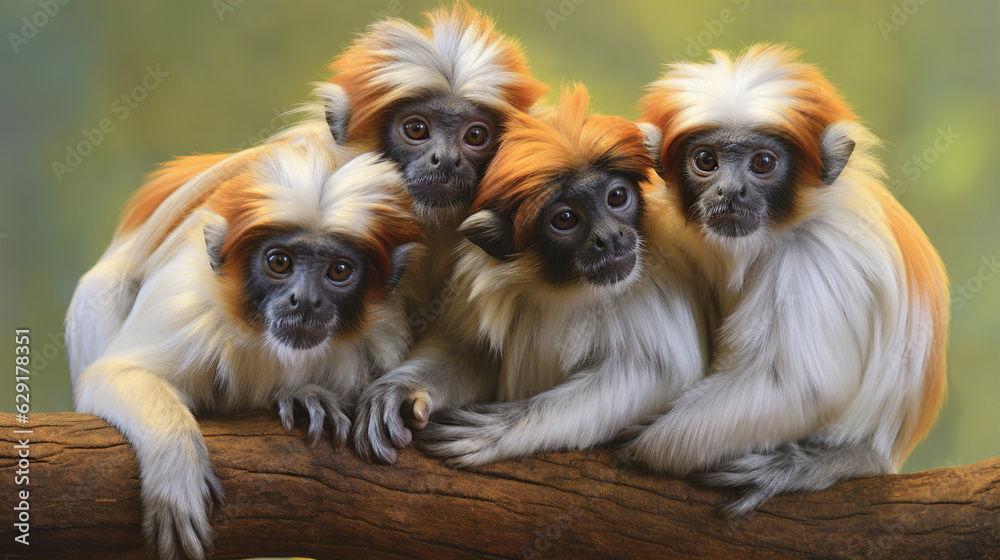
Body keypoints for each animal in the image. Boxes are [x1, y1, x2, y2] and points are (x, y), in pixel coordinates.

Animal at [65, 127, 422, 560]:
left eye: (339, 271)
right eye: (279, 262)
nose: (304, 301)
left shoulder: (378, 339)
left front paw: (301, 394)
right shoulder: (189, 309)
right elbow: (111, 375)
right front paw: (176, 474)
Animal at [352, 85, 710, 466]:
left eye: (617, 197)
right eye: (565, 219)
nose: (611, 238)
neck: (569, 289)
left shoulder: (655, 279)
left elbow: (657, 373)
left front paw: (499, 429)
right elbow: (473, 355)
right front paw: (400, 389)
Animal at [620, 44, 949, 516]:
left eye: (762, 163)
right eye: (706, 161)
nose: (730, 191)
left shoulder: (812, 256)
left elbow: (798, 389)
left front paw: (642, 446)